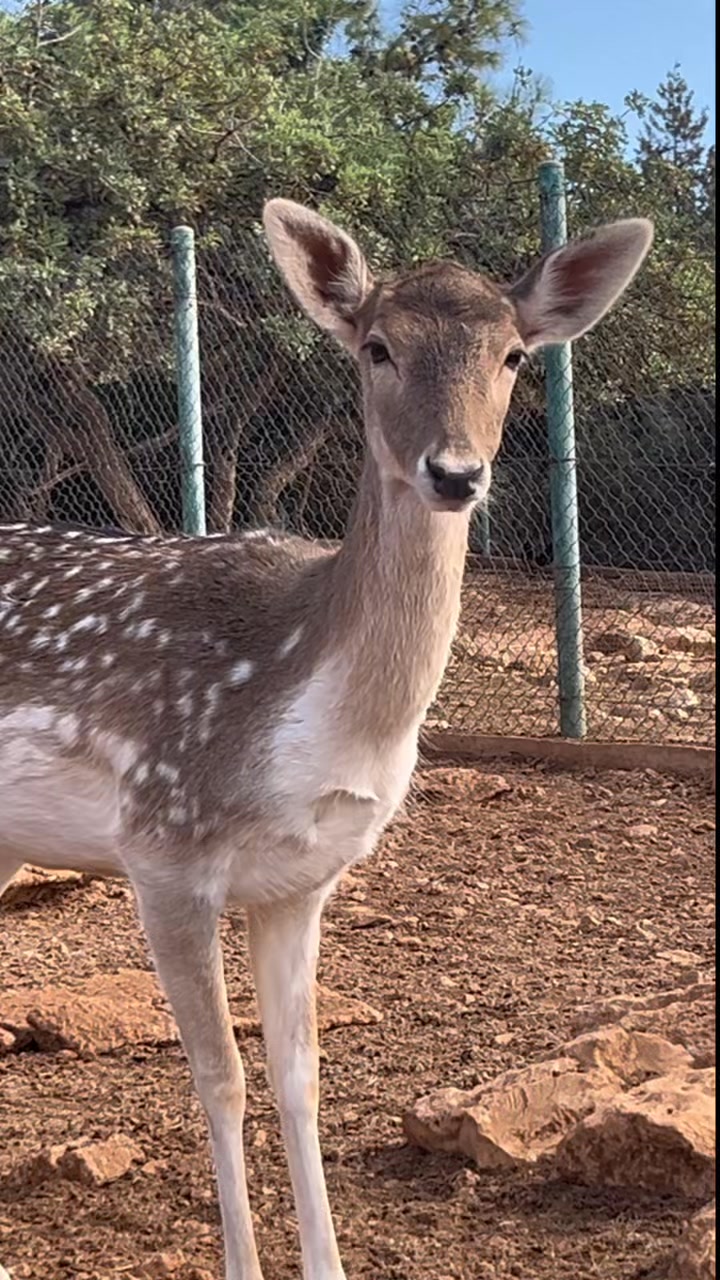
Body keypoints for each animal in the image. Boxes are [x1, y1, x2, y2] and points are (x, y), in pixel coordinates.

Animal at [0, 199, 652, 1280]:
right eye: (377, 346)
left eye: (516, 353)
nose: (454, 473)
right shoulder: (161, 843)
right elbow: (218, 1074)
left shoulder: (304, 879)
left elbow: (299, 1073)